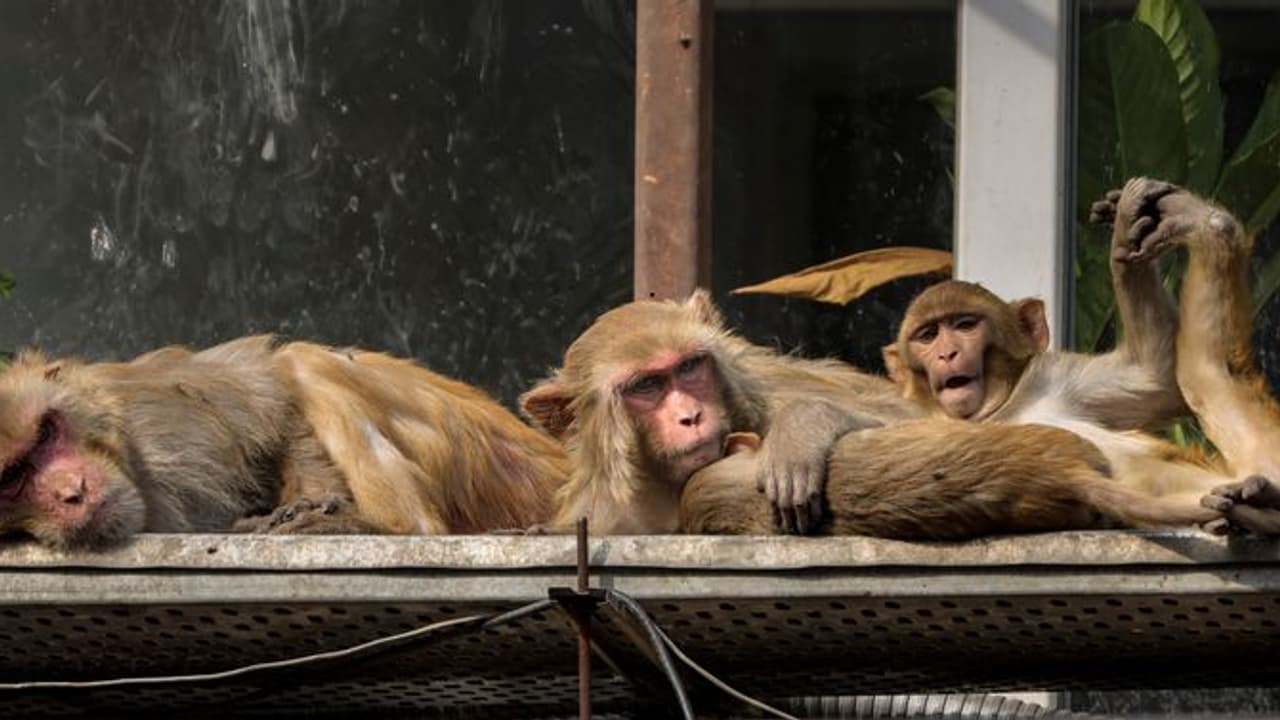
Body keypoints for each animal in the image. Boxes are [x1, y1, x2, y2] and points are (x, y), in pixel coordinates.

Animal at [0, 336, 569, 549]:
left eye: (46, 433)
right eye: (12, 476)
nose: (72, 492)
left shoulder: (164, 428)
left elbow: (270, 402)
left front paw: (317, 507)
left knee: (302, 360)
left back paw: (398, 527)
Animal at [520, 290, 1220, 537]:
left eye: (688, 368)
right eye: (646, 385)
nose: (691, 415)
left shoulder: (756, 386)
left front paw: (803, 429)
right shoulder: (603, 517)